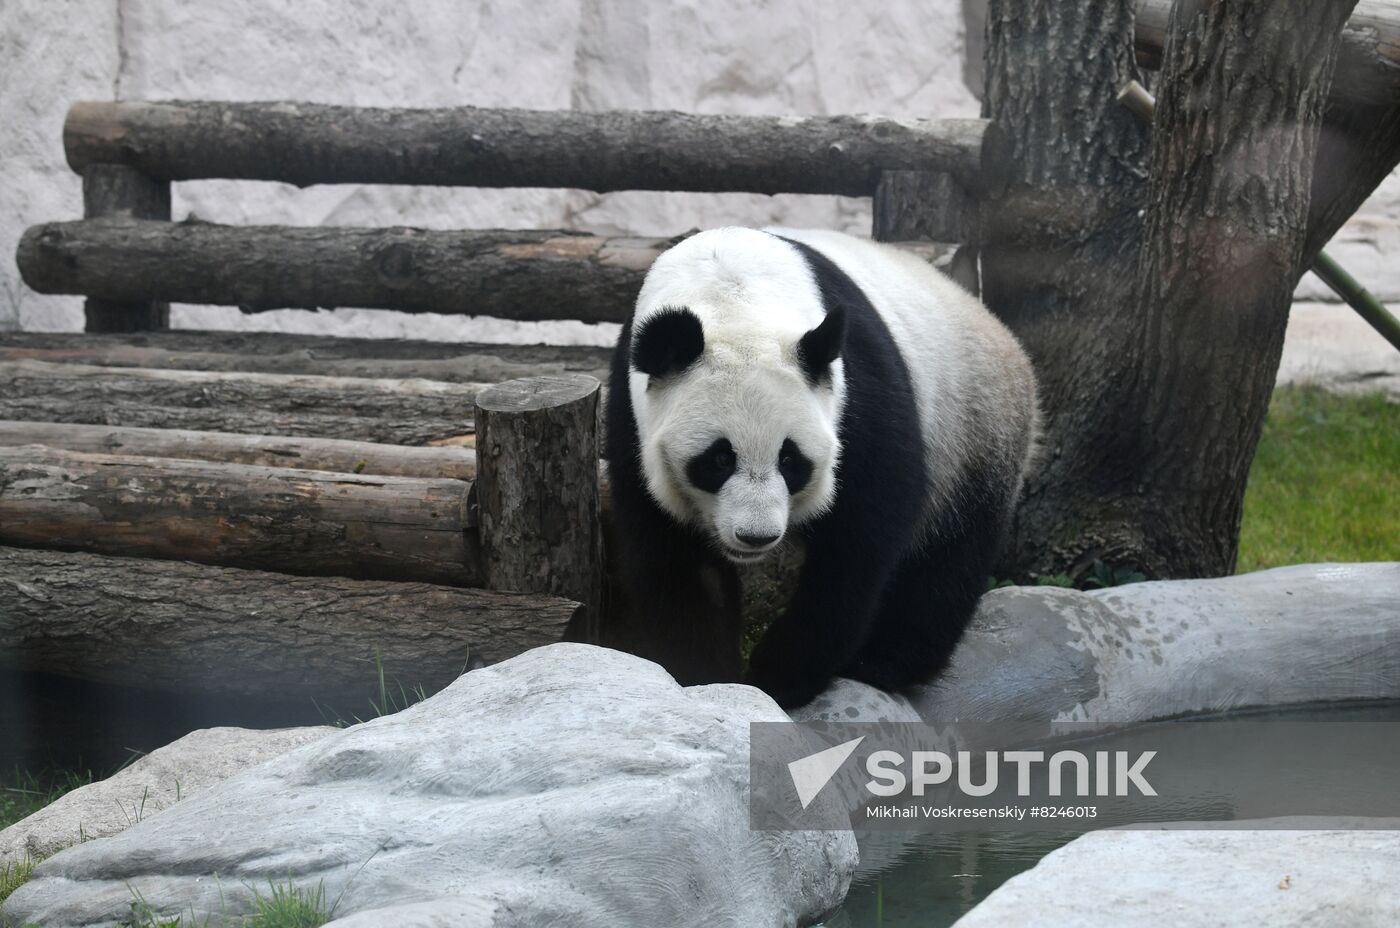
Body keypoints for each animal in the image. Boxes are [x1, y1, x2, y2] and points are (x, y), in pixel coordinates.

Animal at [606, 227, 1038, 709]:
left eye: (790, 459)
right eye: (719, 459)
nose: (756, 536)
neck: (729, 291)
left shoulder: (854, 395)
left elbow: (859, 540)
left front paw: (779, 676)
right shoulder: (632, 416)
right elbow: (674, 552)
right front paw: (707, 675)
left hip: (971, 430)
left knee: (945, 560)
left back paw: (885, 663)